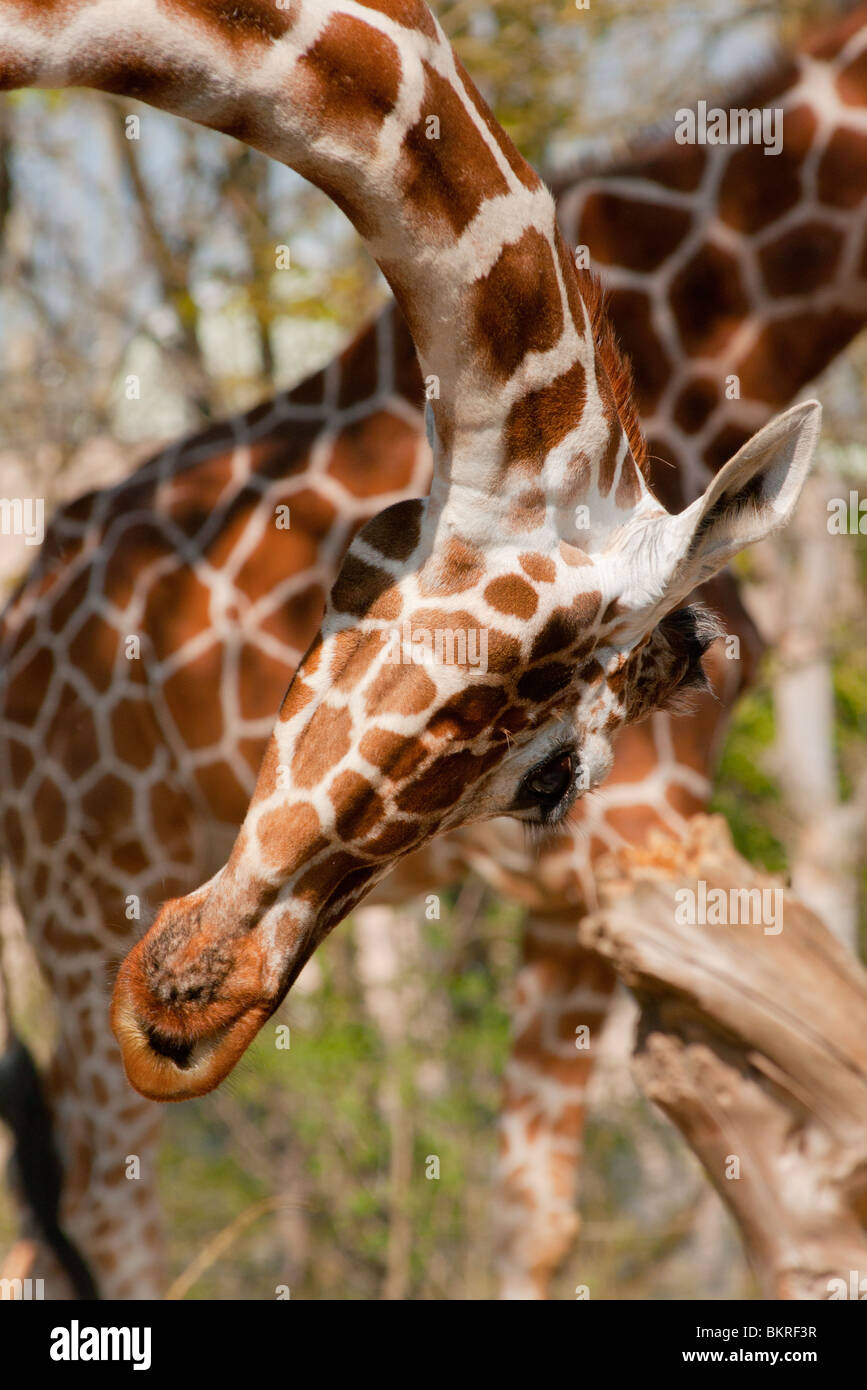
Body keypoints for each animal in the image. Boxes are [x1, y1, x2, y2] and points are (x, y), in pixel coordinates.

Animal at [0, 0, 849, 1298]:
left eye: (549, 783)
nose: (185, 1008)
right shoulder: (635, 851)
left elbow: (551, 1206)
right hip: (78, 889)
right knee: (108, 1206)